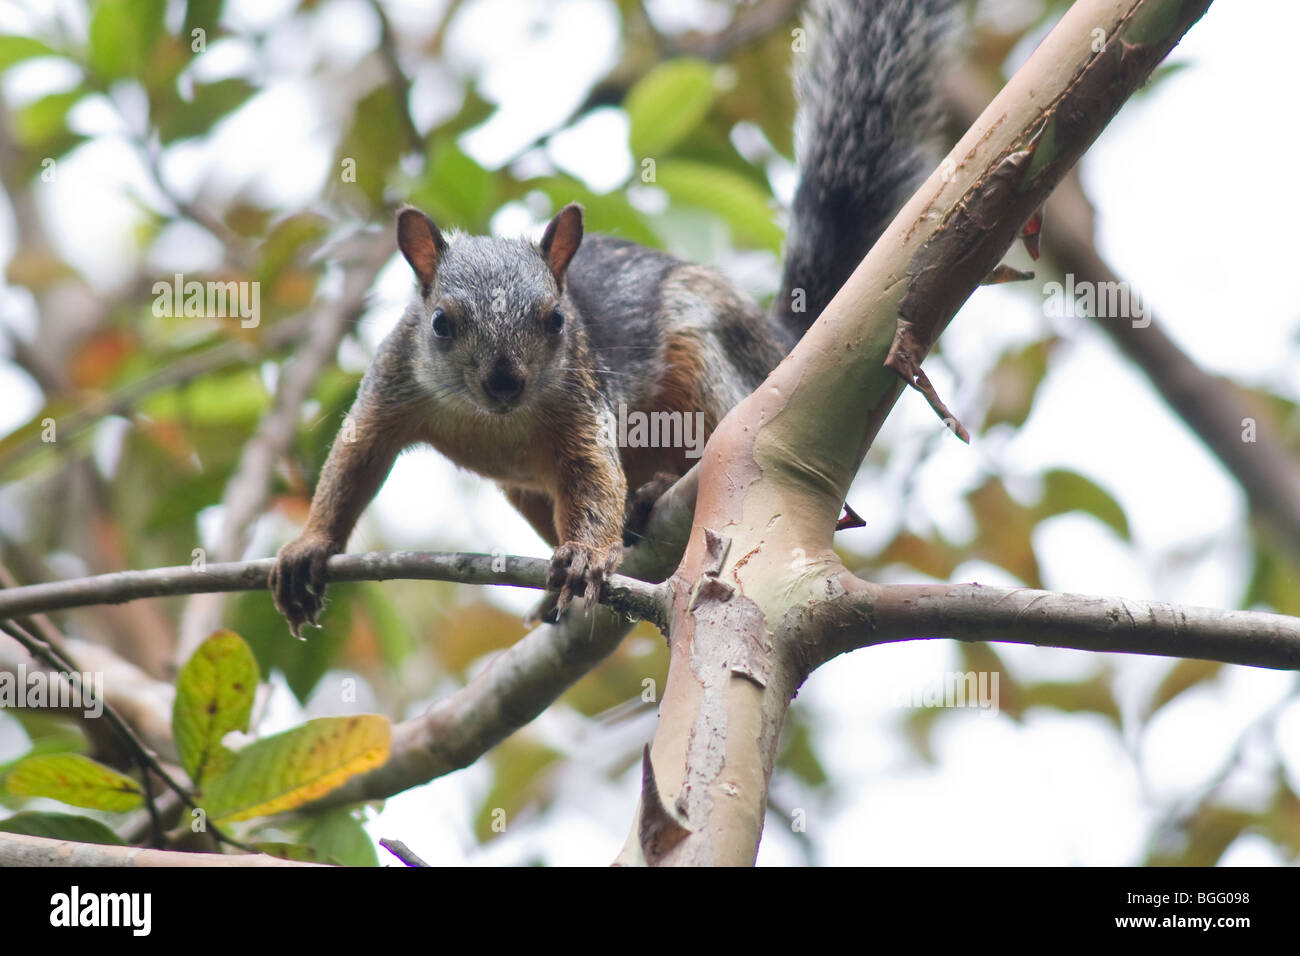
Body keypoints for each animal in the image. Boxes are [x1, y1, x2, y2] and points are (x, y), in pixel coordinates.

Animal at [270, 0, 956, 637]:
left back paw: (653, 494)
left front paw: (587, 555)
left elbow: (596, 478)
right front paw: (310, 546)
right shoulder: (392, 383)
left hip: (709, 351)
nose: (505, 383)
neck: (492, 420)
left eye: (555, 320)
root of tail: (780, 342)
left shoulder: (582, 399)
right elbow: (353, 457)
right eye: (440, 322)